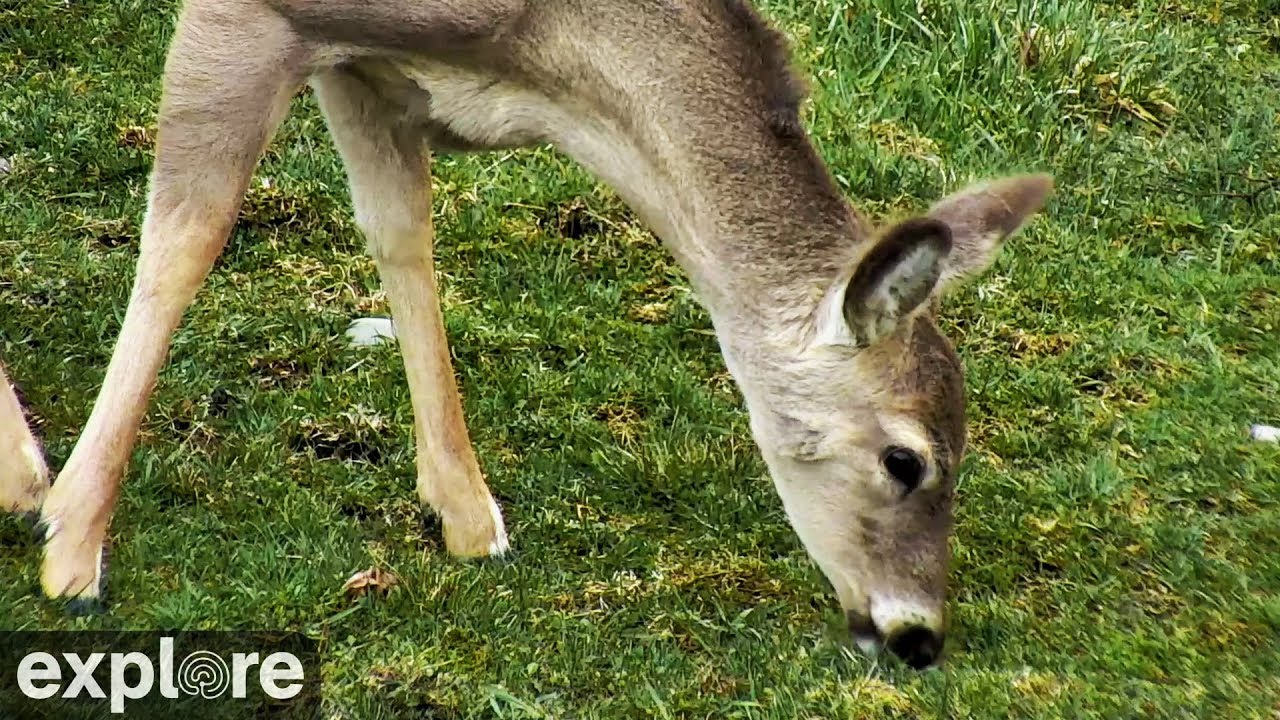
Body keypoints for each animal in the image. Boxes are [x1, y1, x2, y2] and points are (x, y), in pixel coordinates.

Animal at [0, 0, 1052, 669]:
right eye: (906, 459)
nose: (919, 634)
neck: (533, 54)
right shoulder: (256, 14)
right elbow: (184, 239)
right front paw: (75, 553)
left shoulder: (363, 63)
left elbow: (401, 231)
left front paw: (467, 516)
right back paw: (32, 481)